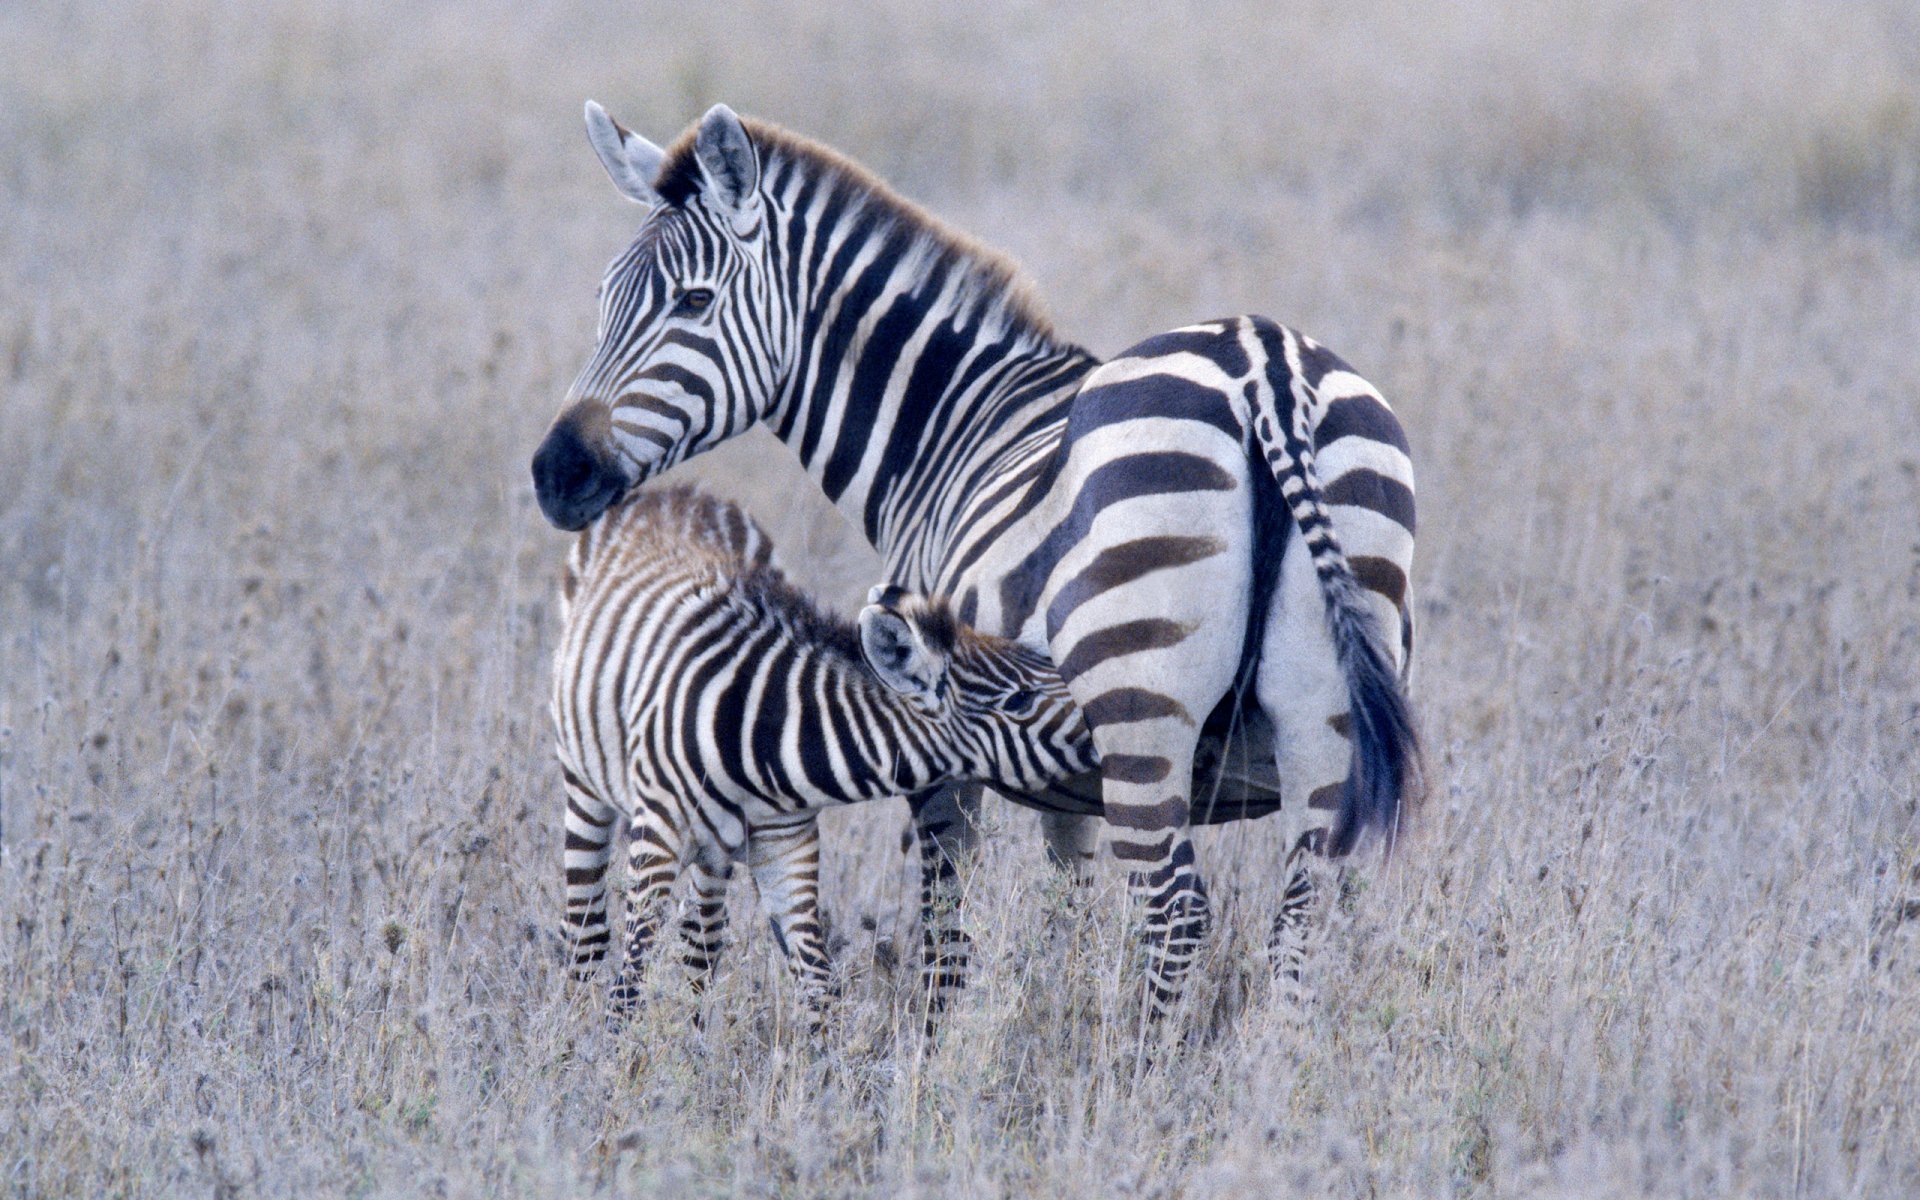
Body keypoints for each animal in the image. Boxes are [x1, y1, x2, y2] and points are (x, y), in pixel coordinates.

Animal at [554, 484, 1095, 1014]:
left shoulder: (787, 848)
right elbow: (629, 981)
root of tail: (674, 492)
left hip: (713, 855)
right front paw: (617, 1045)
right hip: (586, 786)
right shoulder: (658, 839)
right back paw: (575, 1024)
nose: (1105, 716)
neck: (764, 743)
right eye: (1019, 699)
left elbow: (819, 986)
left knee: (700, 937)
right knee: (586, 927)